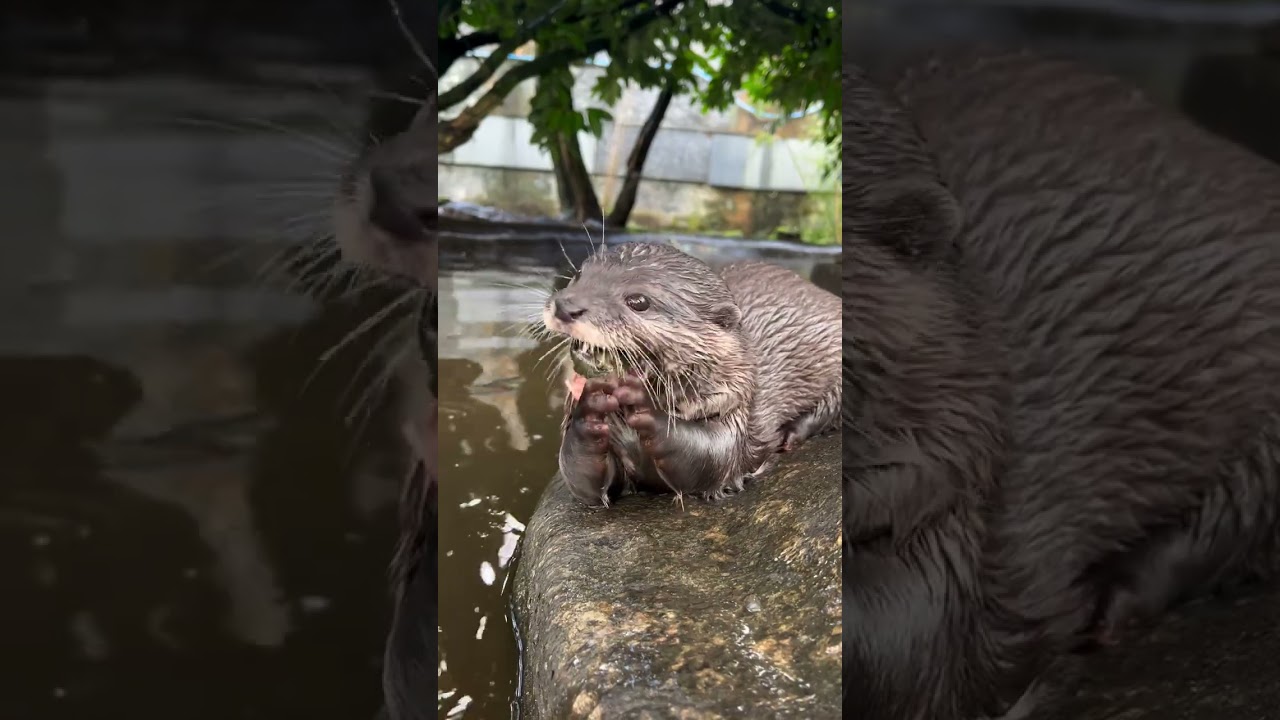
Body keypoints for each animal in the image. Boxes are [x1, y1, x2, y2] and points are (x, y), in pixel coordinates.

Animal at [541, 241, 840, 507]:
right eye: (579, 274)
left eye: (638, 301)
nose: (566, 307)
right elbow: (581, 477)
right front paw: (589, 405)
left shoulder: (732, 411)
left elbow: (707, 459)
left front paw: (643, 404)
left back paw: (792, 433)